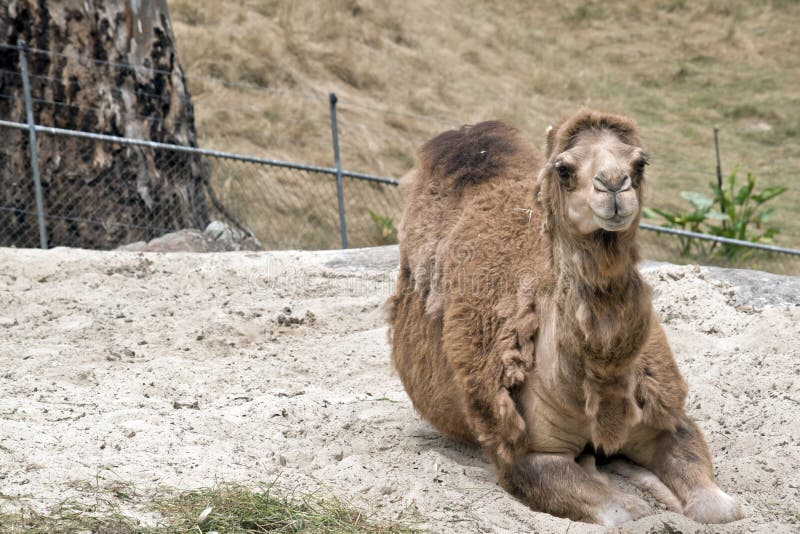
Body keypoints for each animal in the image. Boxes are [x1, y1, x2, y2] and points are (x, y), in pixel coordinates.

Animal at [386, 111, 743, 526]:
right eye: (563, 168)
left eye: (640, 163)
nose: (613, 184)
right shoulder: (526, 454)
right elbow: (627, 513)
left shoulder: (668, 416)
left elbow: (718, 508)